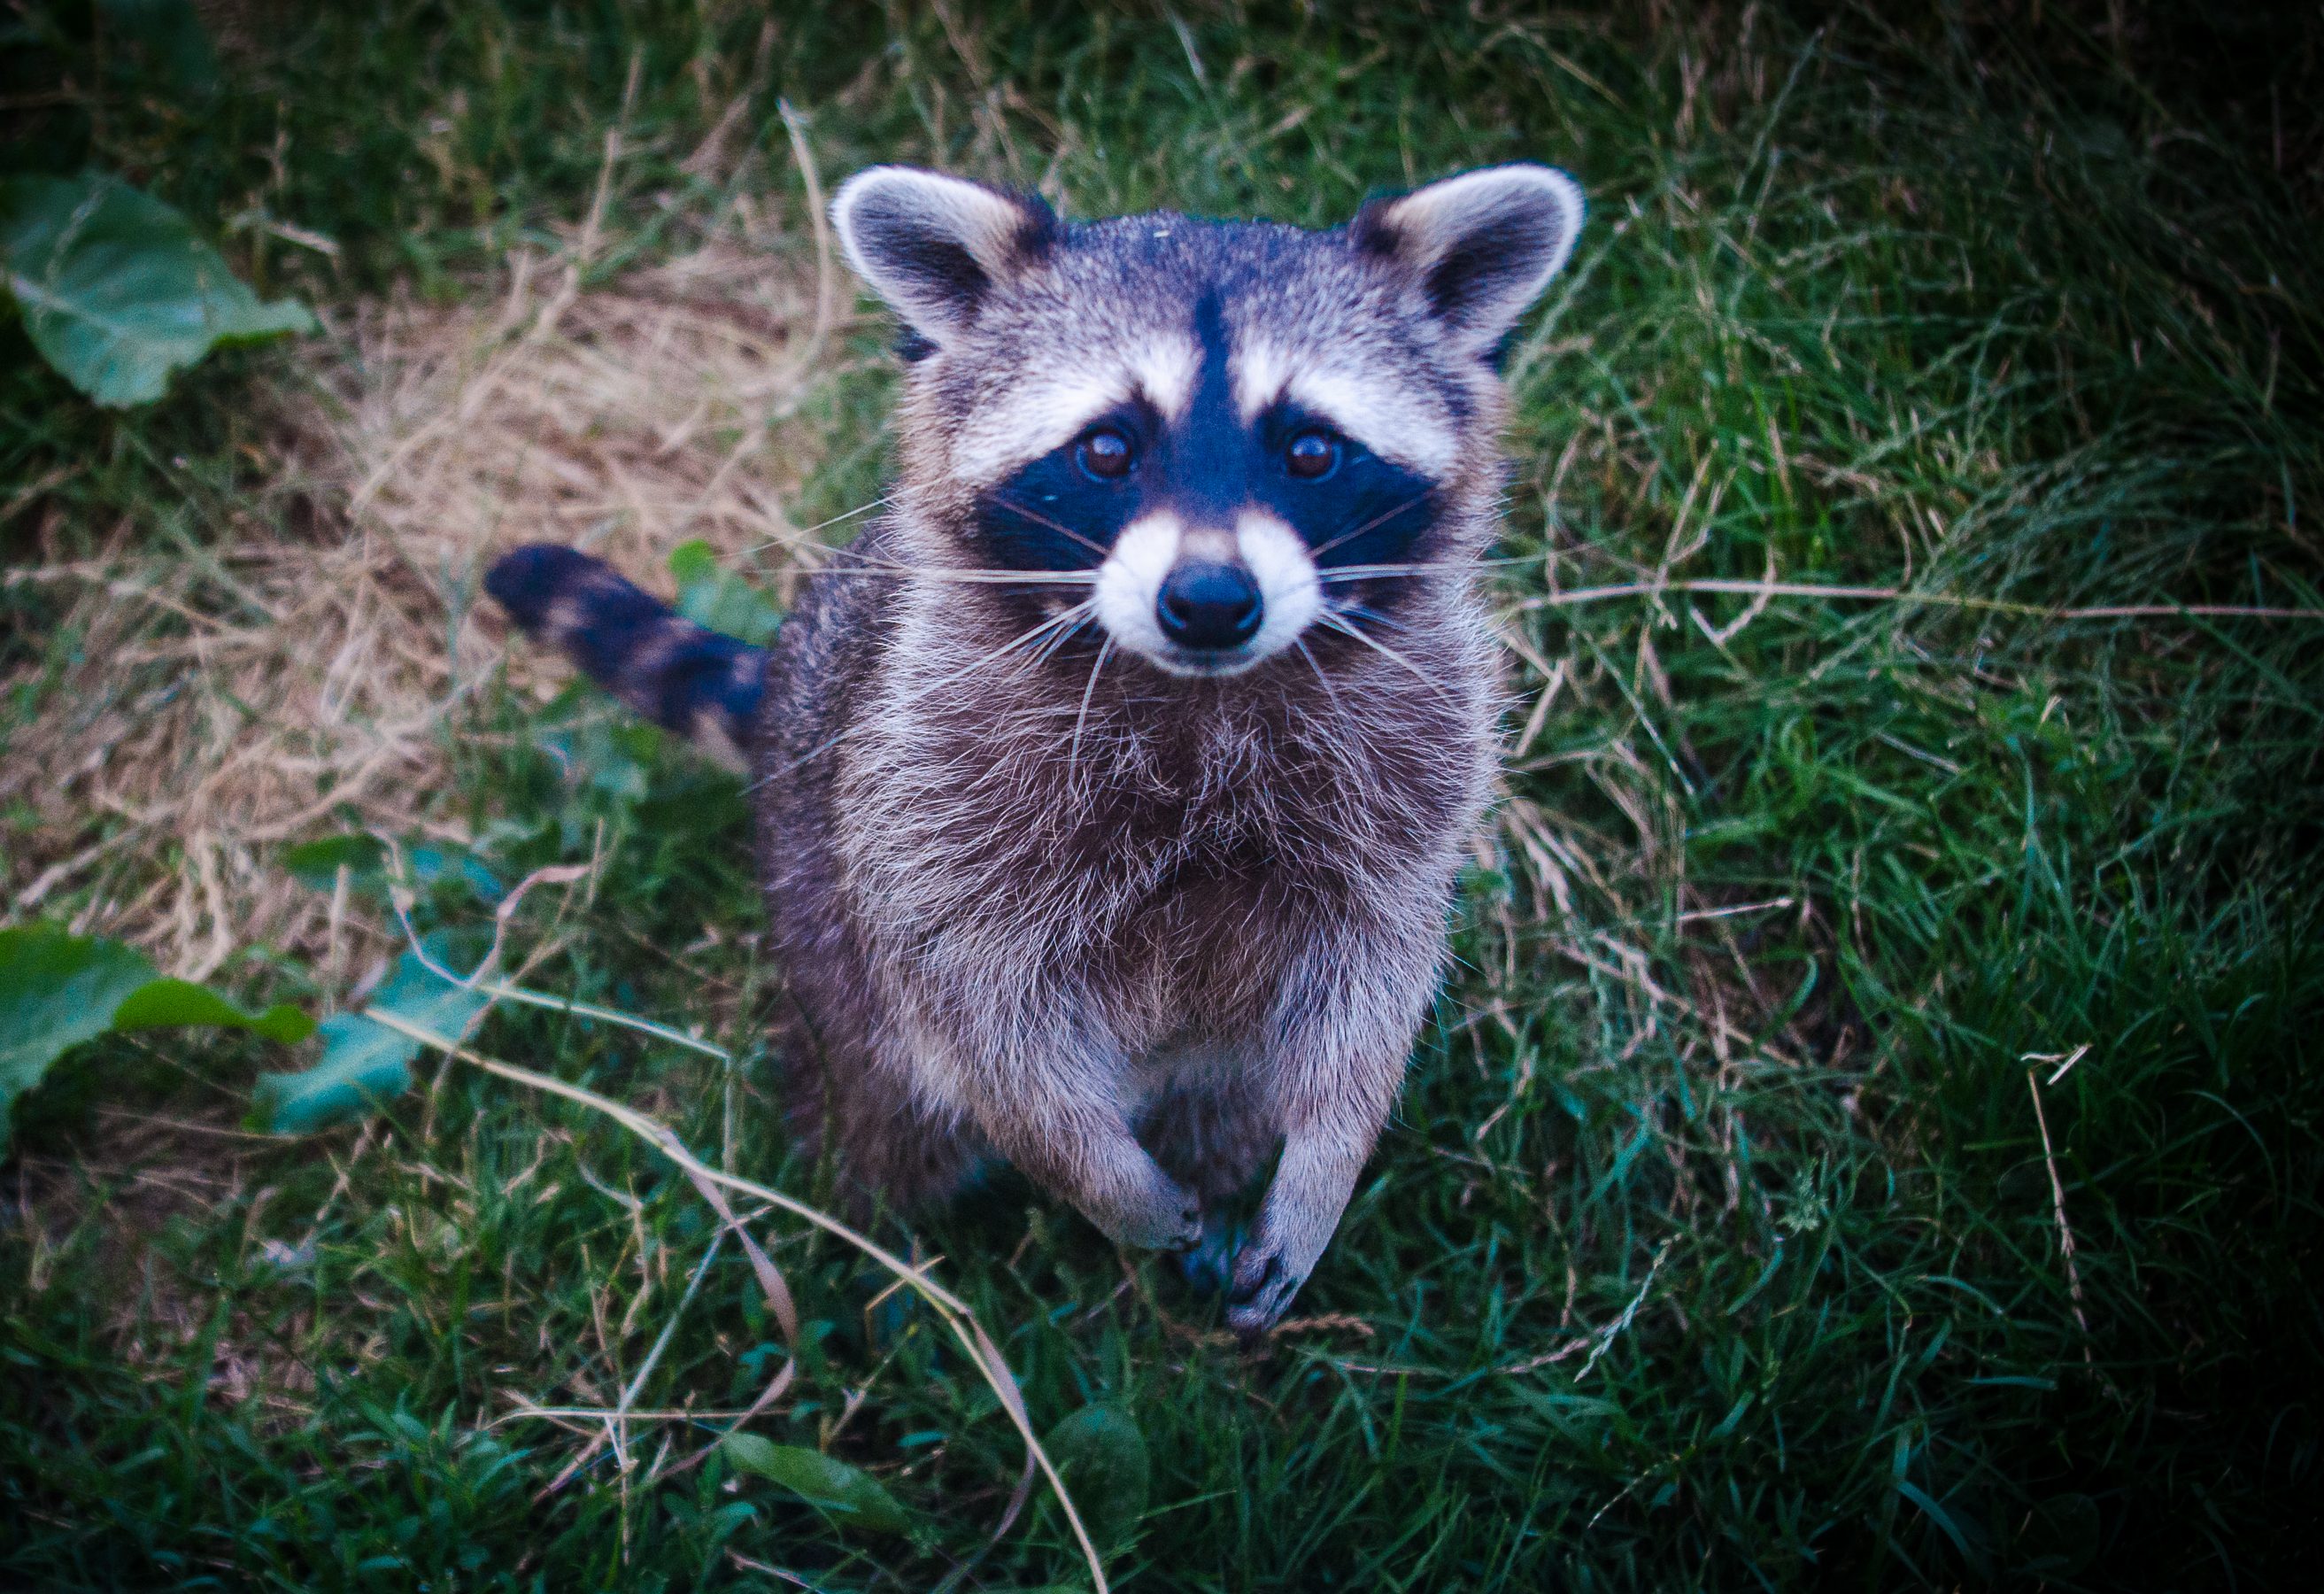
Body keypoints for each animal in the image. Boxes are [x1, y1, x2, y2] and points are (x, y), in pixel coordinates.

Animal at [488, 162, 1583, 1332]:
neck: (1197, 691)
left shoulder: (1416, 766)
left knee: (1228, 1098)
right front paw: (1094, 1172)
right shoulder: (927, 787)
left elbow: (1376, 980)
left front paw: (1328, 1158)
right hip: (816, 900)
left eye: (1311, 449)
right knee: (879, 1110)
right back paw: (874, 1243)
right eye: (1106, 448)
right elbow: (976, 1013)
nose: (1210, 601)